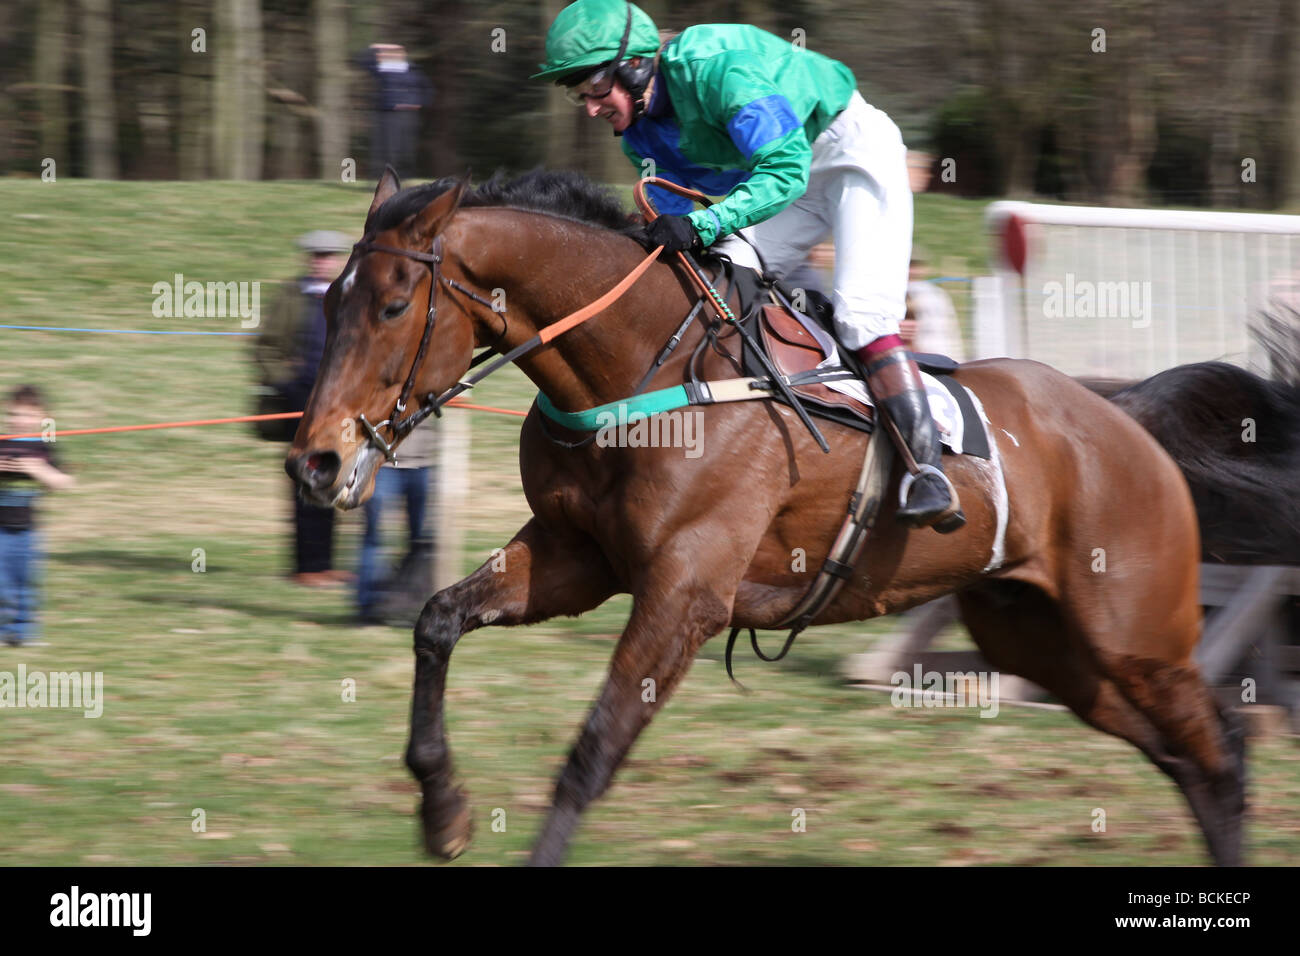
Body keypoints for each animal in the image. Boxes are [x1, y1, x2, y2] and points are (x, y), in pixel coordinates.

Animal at [285, 168, 1245, 866]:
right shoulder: (575, 557)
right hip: (1044, 642)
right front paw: (442, 810)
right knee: (1181, 759)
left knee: (1218, 753)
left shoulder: (685, 594)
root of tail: (1128, 418)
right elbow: (438, 620)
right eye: (329, 302)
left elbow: (591, 754)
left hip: (1136, 637)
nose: (314, 461)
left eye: (393, 306)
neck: (644, 373)